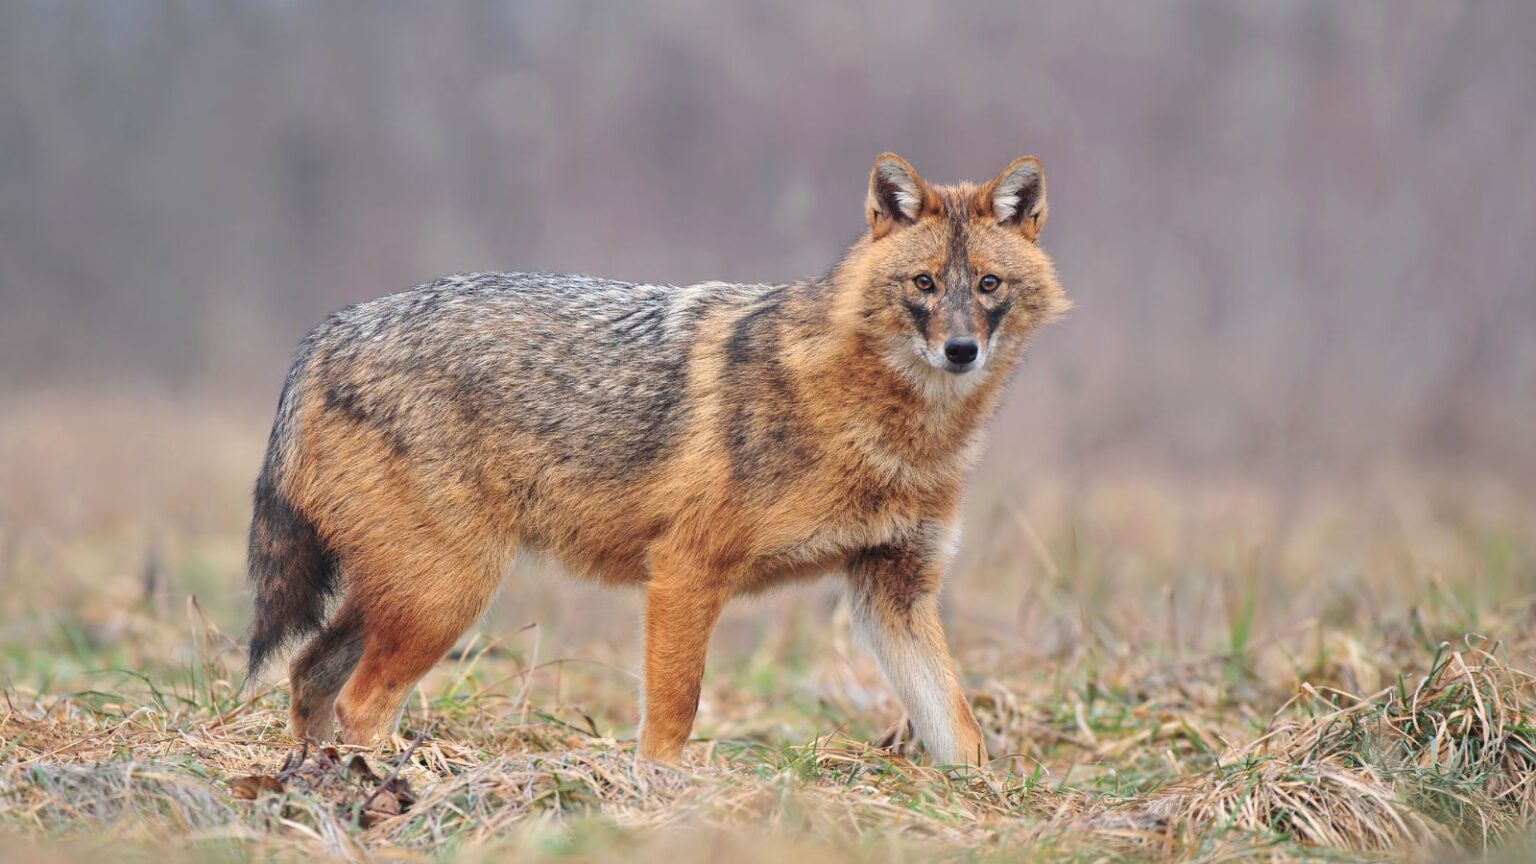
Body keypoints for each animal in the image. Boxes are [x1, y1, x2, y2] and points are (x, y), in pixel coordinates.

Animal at [245, 153, 1069, 765]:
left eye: (988, 285)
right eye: (923, 283)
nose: (960, 351)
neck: (888, 431)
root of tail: (328, 331)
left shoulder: (894, 591)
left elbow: (958, 726)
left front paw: (990, 806)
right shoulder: (684, 572)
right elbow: (675, 711)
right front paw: (661, 799)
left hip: (408, 595)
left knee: (308, 672)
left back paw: (314, 780)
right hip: (447, 595)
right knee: (360, 700)